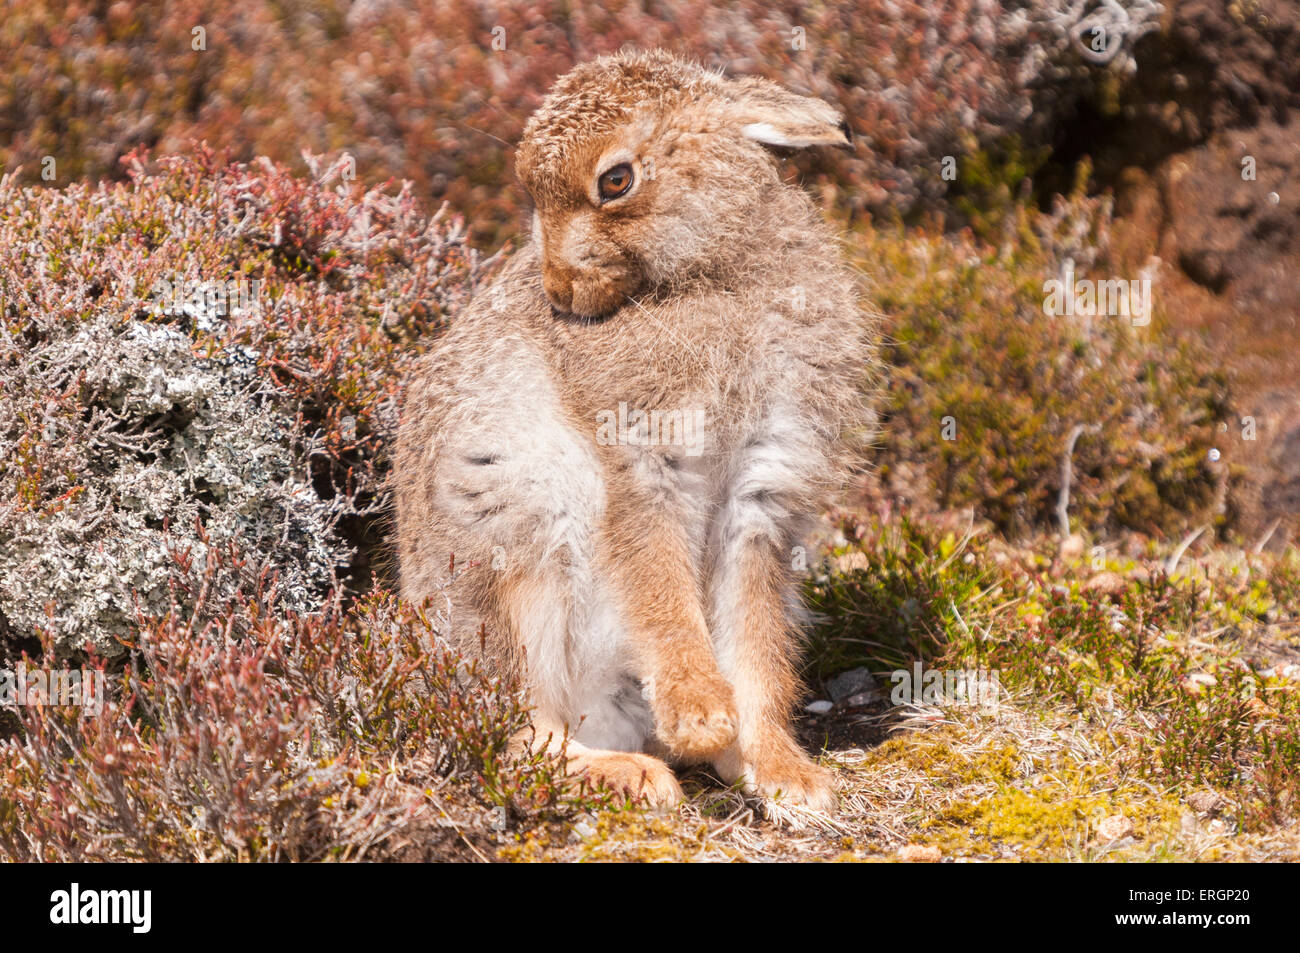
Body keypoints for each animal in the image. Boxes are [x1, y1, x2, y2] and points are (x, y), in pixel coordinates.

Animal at [394, 49, 878, 811]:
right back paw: (630, 774)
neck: (712, 275)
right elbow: (660, 594)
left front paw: (784, 775)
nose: (559, 291)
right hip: (514, 546)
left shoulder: (761, 489)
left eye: (615, 181)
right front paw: (701, 716)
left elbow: (755, 642)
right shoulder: (644, 466)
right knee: (519, 737)